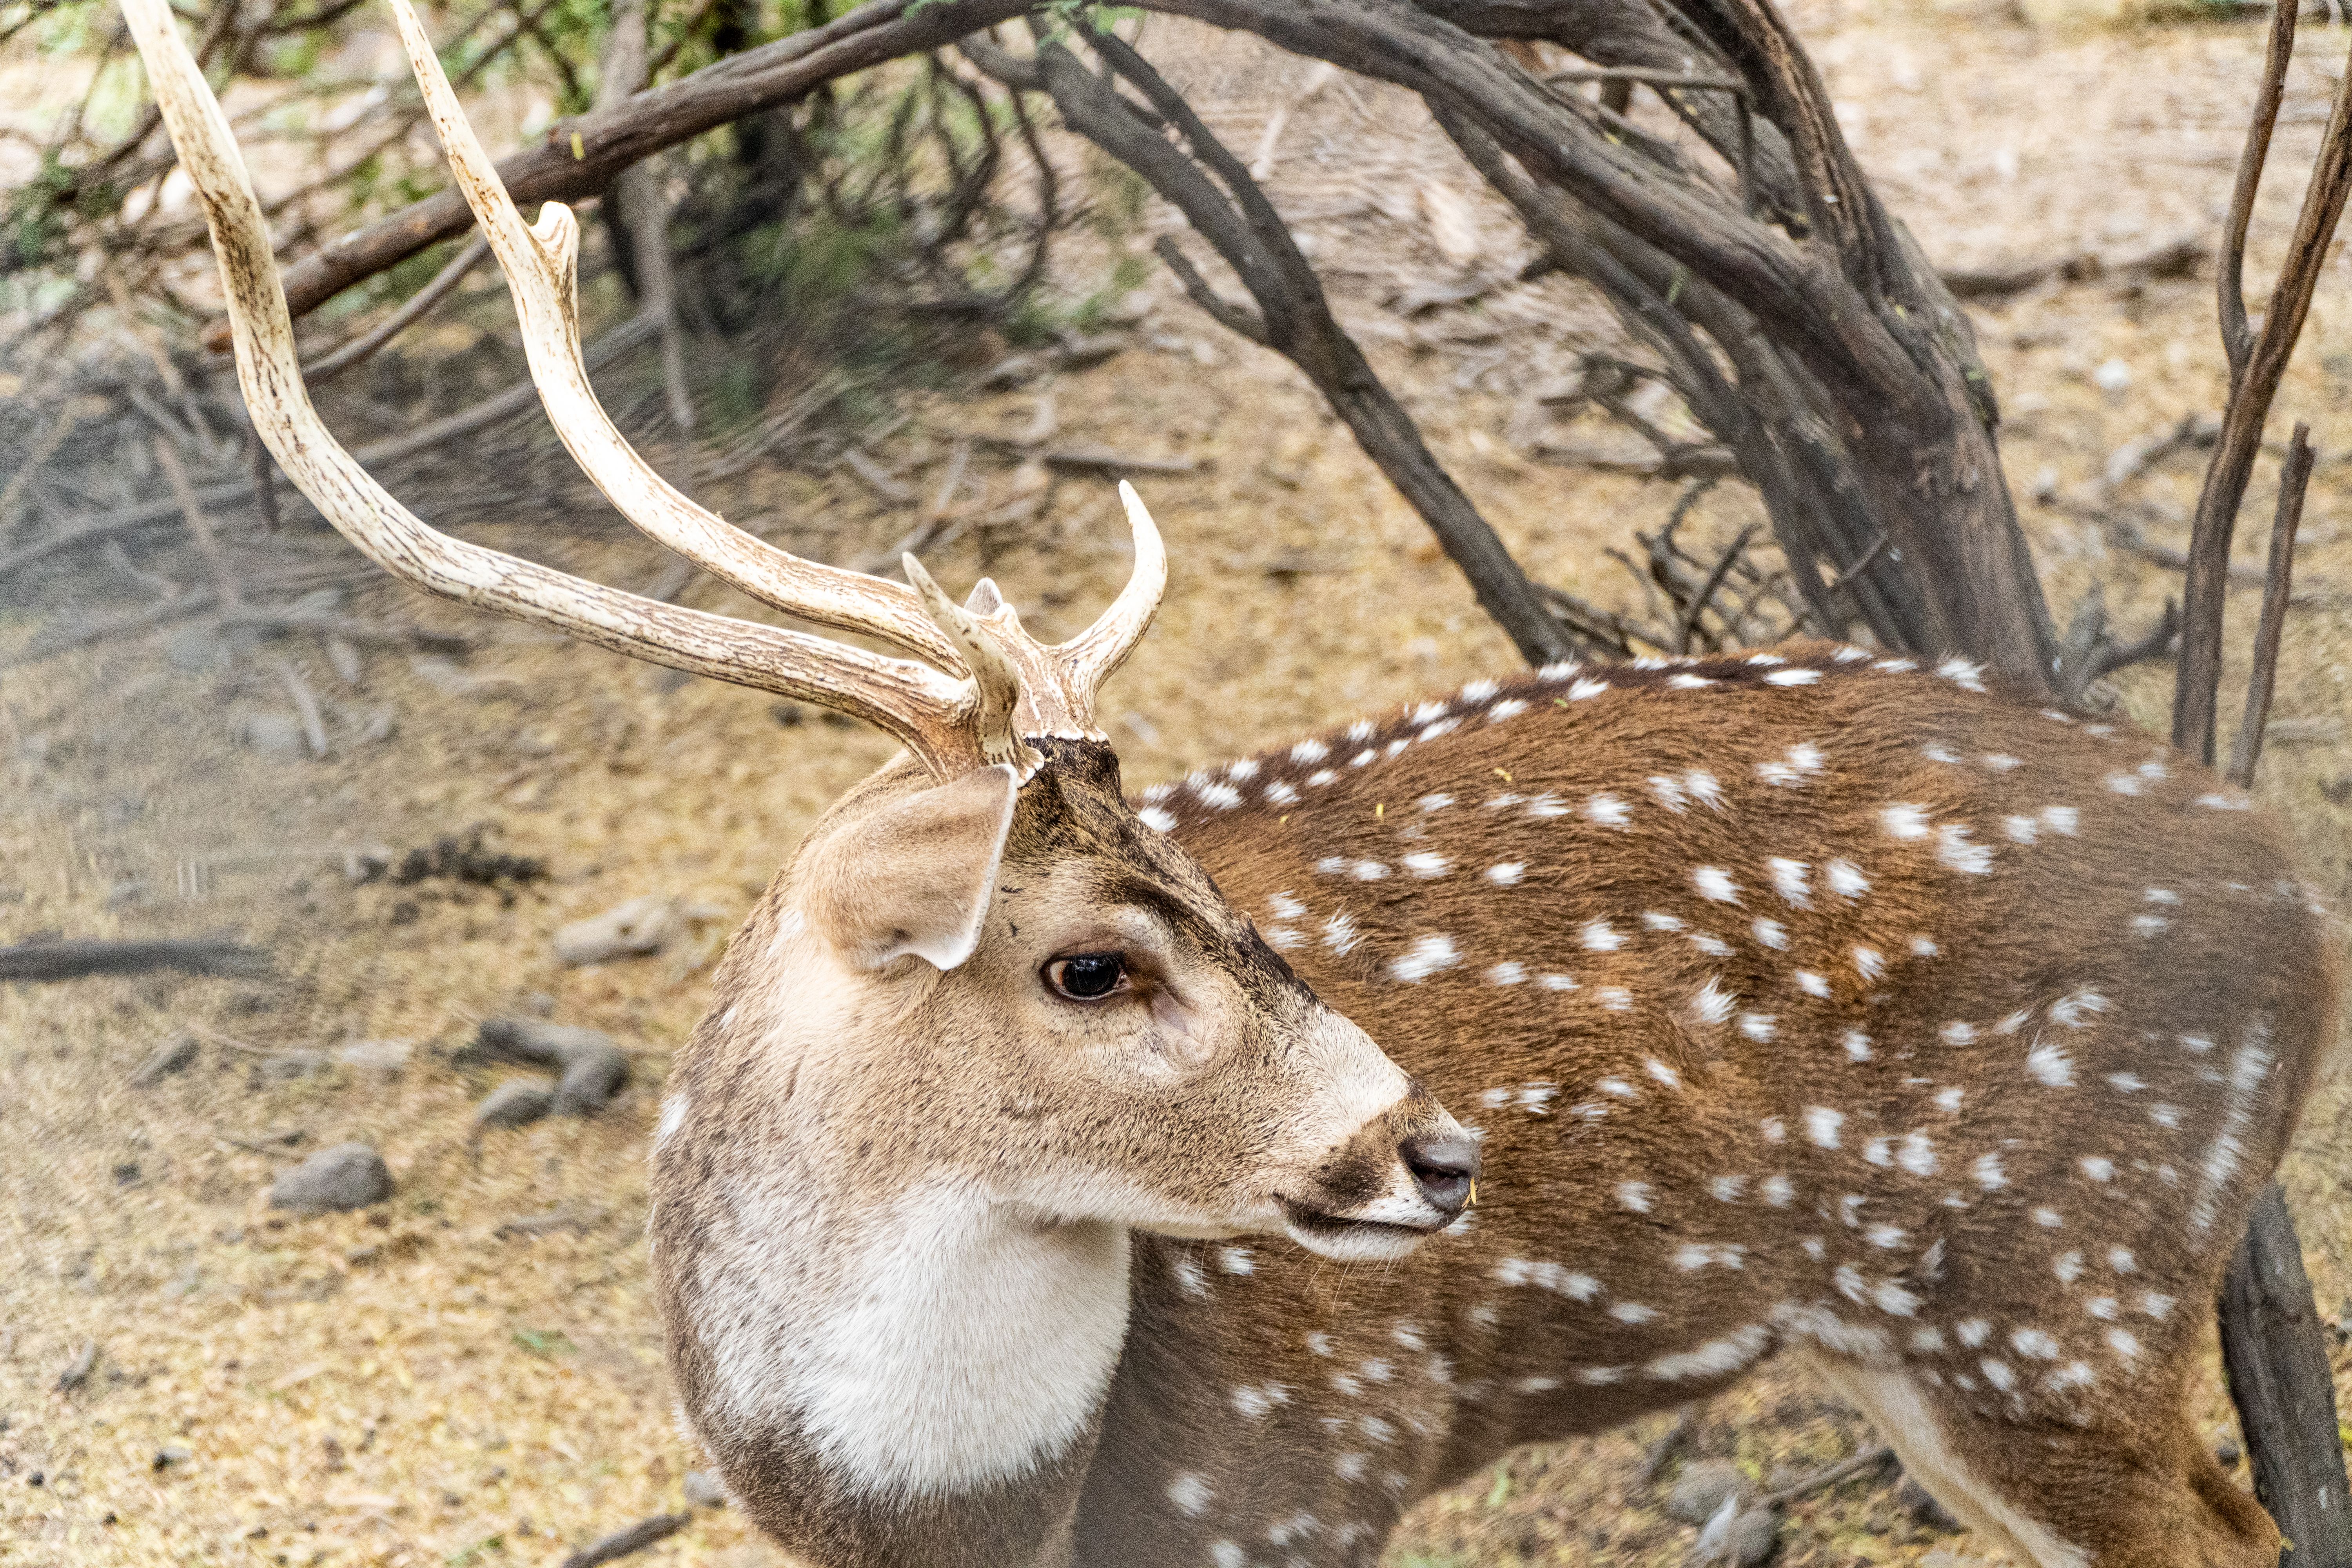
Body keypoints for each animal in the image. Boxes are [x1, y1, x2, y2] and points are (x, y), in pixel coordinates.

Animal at [124, 2, 2341, 1564]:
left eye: (1209, 895)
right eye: (1095, 957)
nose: (1432, 1152)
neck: (962, 1511)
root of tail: (2283, 872)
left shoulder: (1293, 1467)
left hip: (2052, 1289)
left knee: (2229, 1520)